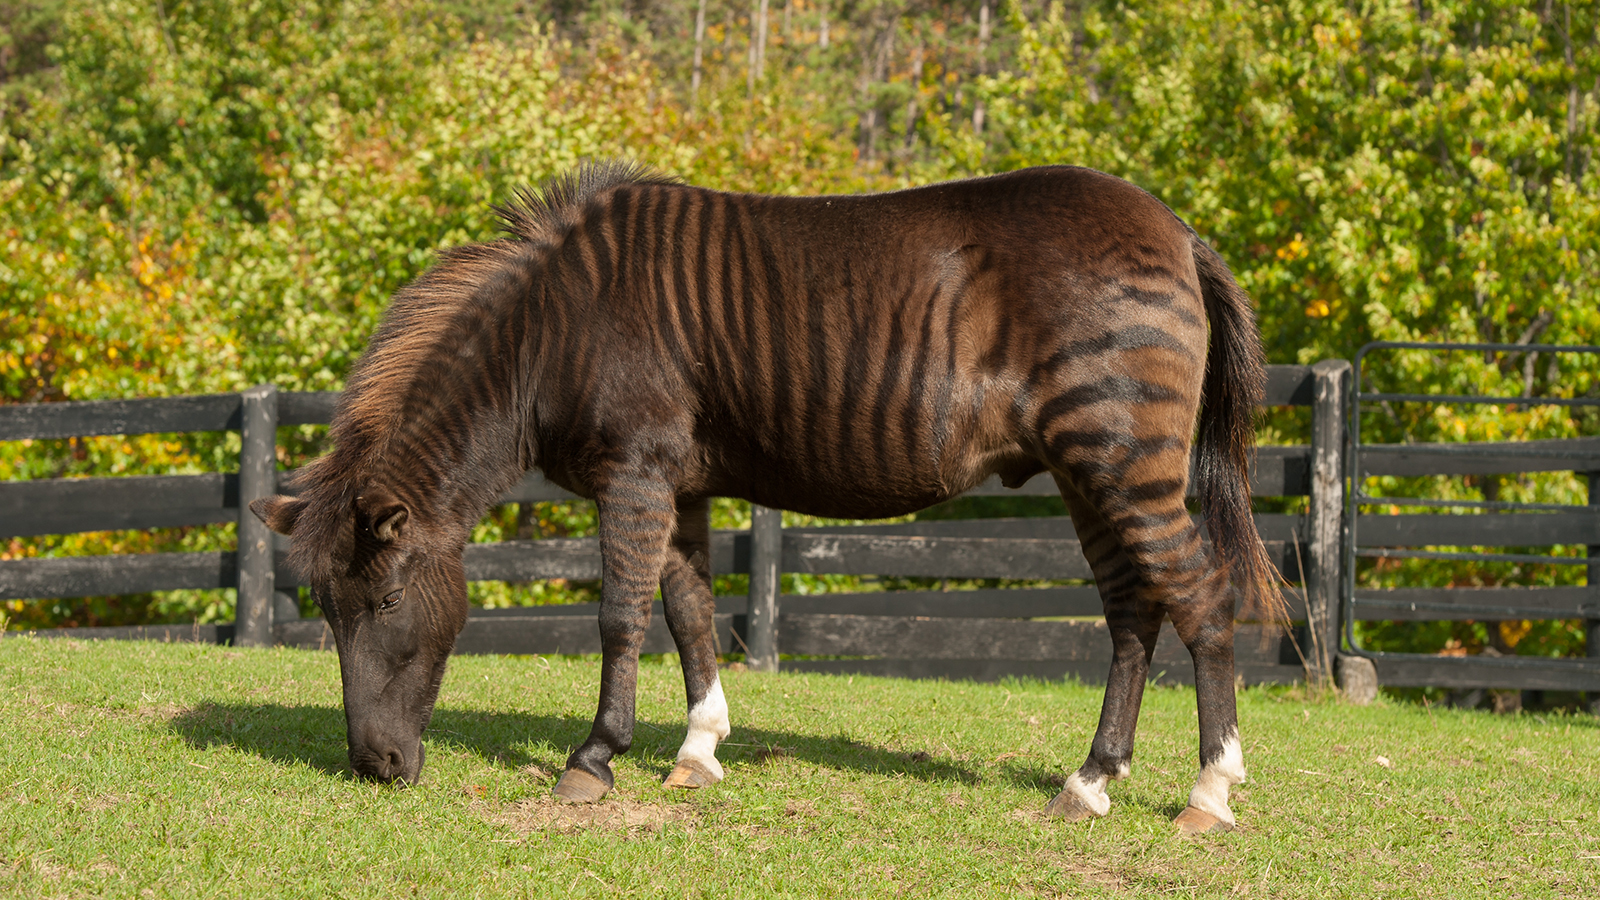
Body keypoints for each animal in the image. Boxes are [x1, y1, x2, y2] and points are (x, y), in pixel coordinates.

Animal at [251, 161, 1279, 834]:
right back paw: (1091, 782)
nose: (374, 770)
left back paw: (1210, 795)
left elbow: (621, 616)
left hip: (1120, 456)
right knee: (1133, 613)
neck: (554, 330)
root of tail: (1178, 230)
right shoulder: (681, 482)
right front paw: (696, 752)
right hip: (1084, 470)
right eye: (325, 614)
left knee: (1202, 599)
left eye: (387, 599)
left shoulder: (633, 472)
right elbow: (690, 613)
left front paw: (593, 761)